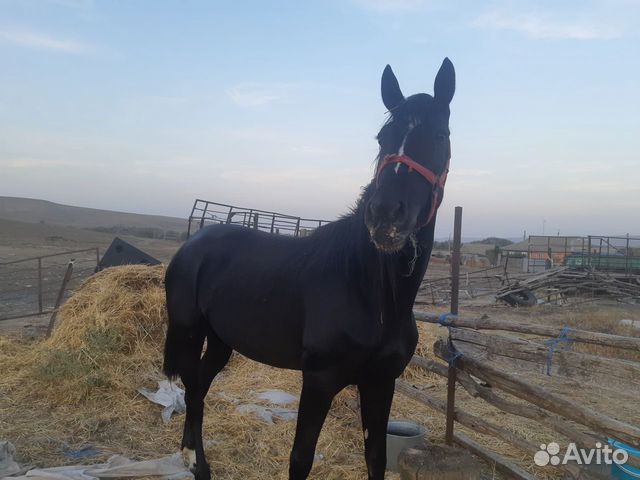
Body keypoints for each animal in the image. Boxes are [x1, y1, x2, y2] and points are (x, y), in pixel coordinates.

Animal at [163, 58, 455, 480]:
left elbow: (376, 457)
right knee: (191, 388)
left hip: (221, 340)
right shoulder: (318, 380)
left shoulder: (381, 382)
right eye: (382, 138)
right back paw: (196, 464)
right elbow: (300, 458)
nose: (386, 216)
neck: (373, 295)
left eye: (439, 135)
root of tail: (192, 244)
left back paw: (194, 459)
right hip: (188, 333)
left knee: (199, 387)